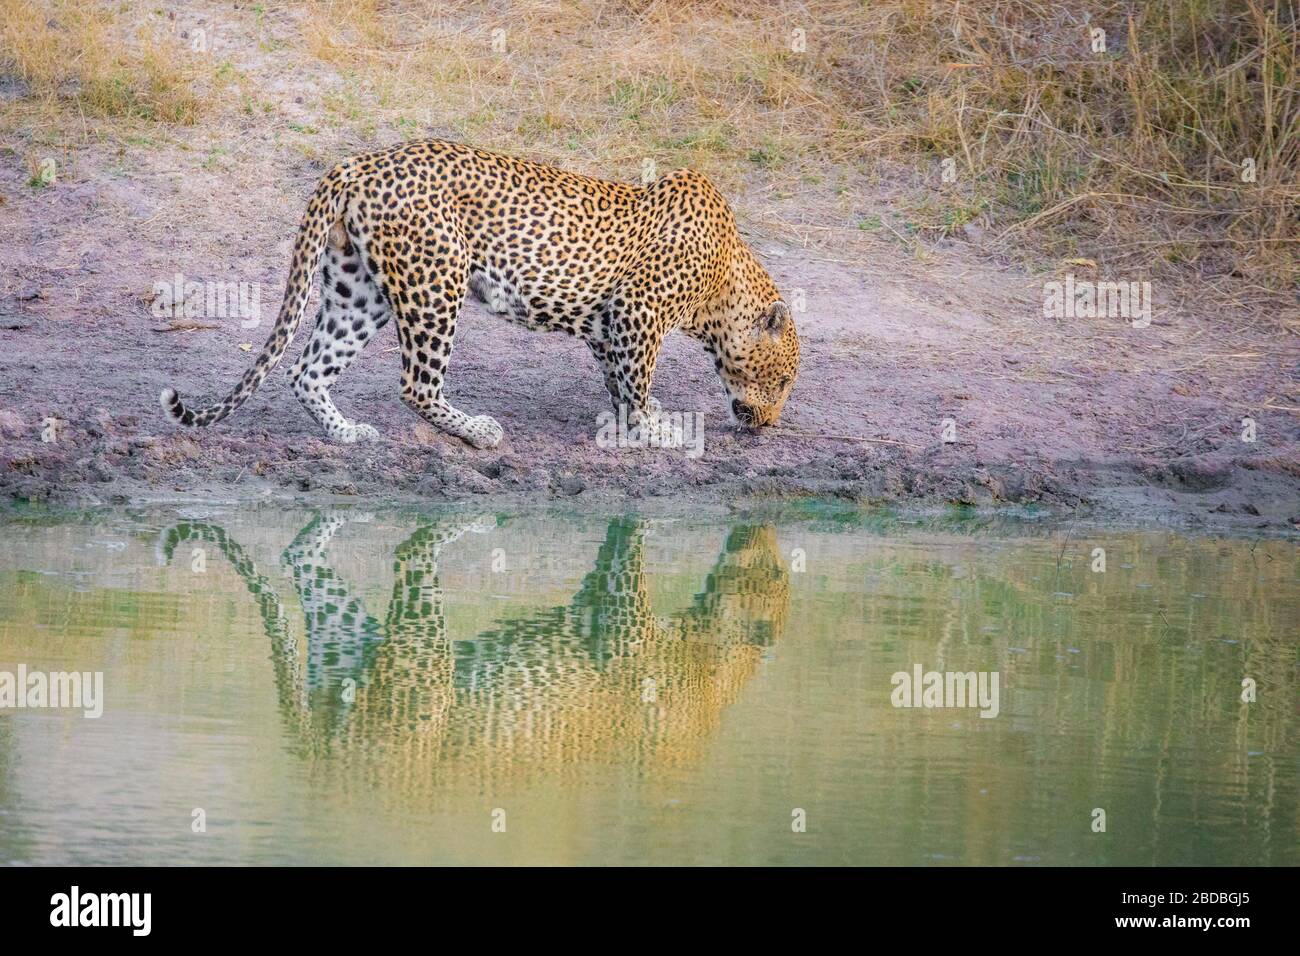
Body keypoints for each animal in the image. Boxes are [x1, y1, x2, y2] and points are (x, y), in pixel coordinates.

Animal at [159, 139, 800, 449]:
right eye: (785, 379)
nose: (770, 424)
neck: (724, 283)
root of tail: (357, 164)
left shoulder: (608, 323)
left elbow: (620, 381)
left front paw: (637, 419)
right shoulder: (638, 314)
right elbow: (636, 383)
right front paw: (657, 431)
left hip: (357, 290)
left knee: (307, 371)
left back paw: (346, 435)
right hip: (436, 280)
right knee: (415, 385)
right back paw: (477, 431)